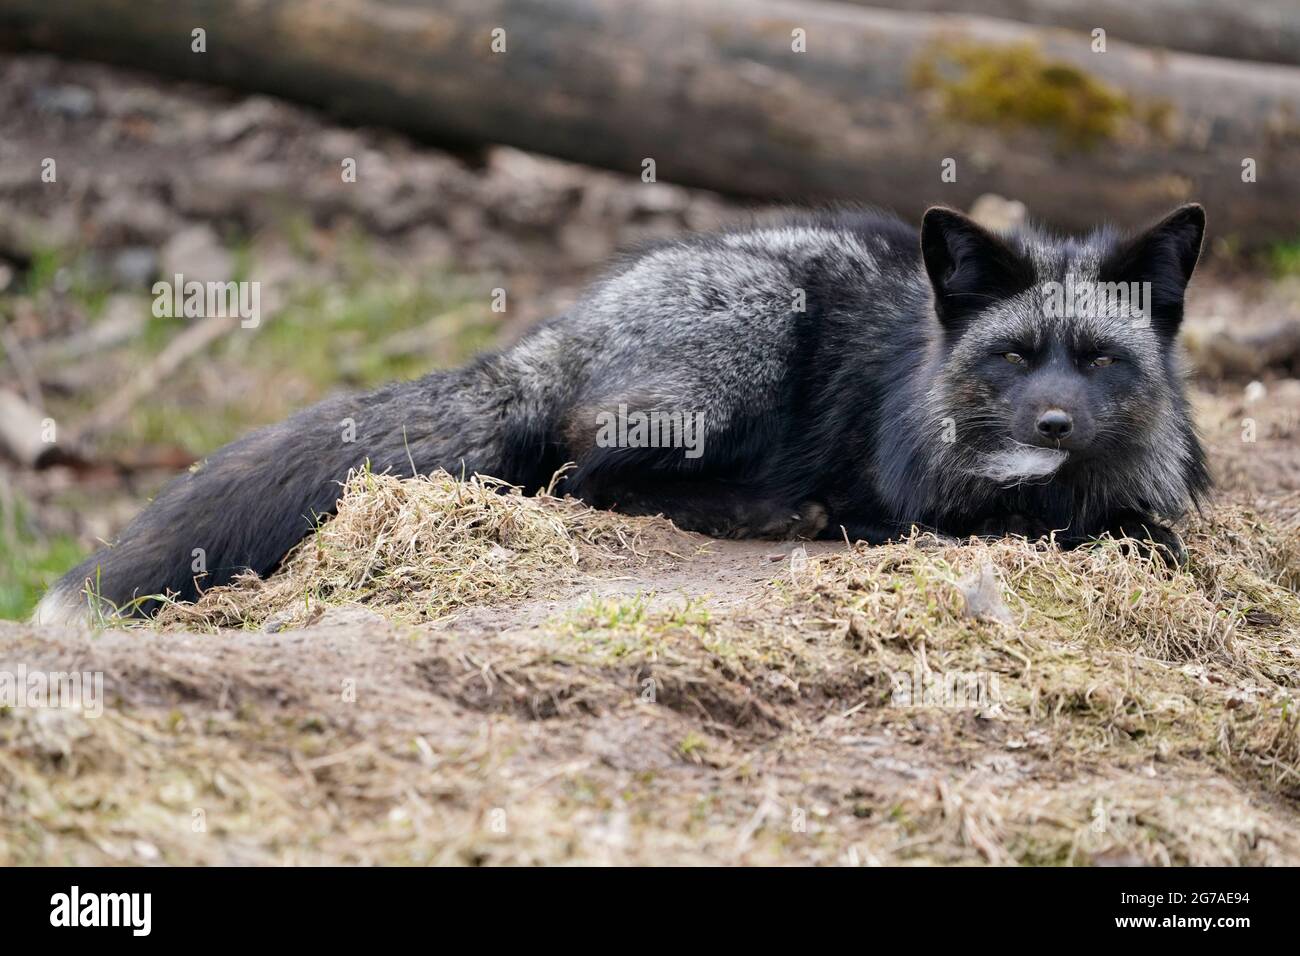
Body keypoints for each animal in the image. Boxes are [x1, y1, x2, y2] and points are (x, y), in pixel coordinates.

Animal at [36, 202, 1210, 626]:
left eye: (1098, 362)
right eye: (1012, 358)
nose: (1053, 426)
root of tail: (573, 325)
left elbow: (1149, 525)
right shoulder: (923, 503)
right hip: (746, 342)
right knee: (582, 473)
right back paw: (763, 510)